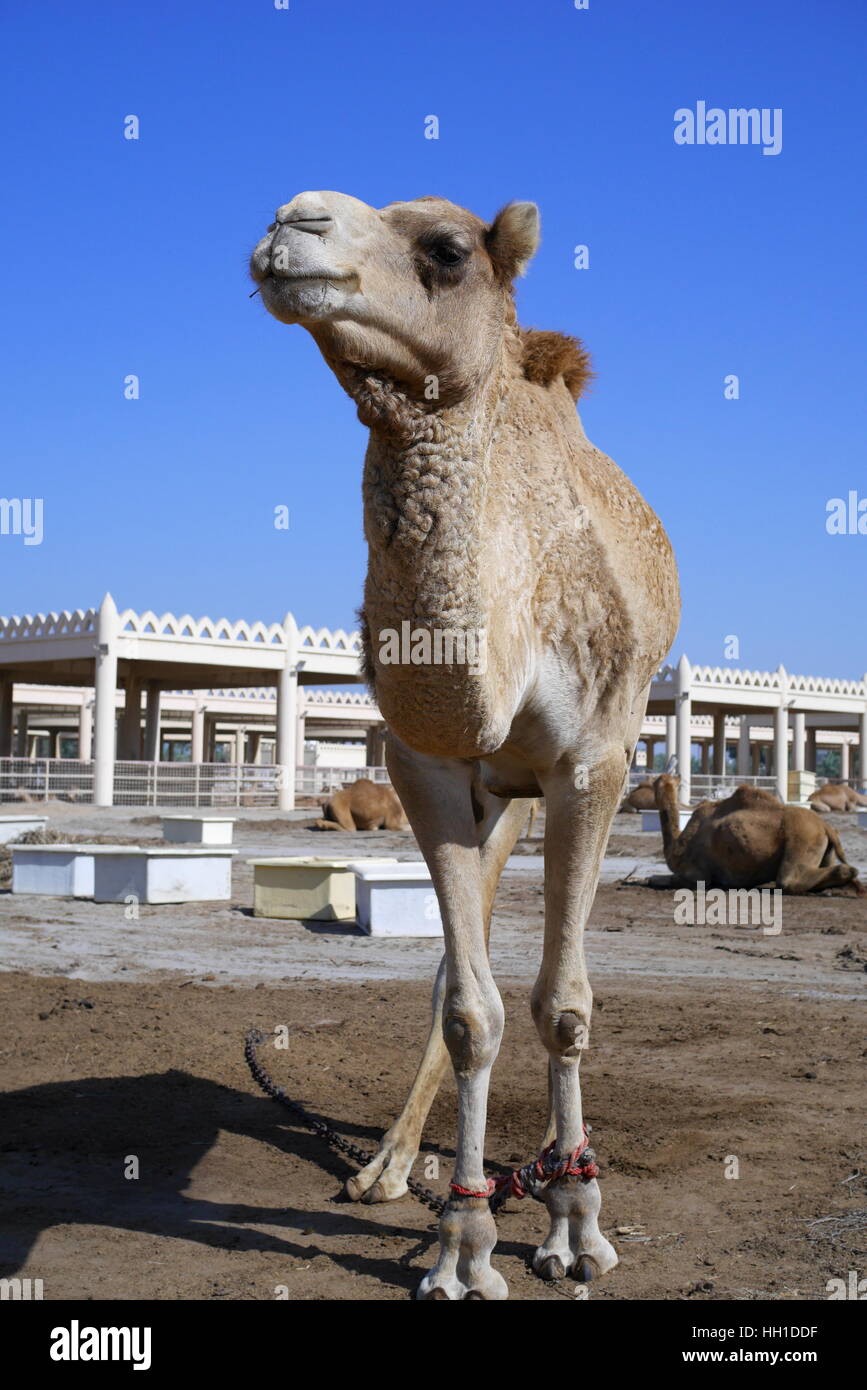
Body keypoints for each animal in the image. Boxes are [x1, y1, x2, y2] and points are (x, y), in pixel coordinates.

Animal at [251, 190, 680, 1298]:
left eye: (446, 250)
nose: (291, 221)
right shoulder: (428, 761)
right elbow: (470, 1009)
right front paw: (461, 1241)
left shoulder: (592, 762)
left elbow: (564, 1005)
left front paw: (576, 1226)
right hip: (497, 791)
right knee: (457, 973)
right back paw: (392, 1167)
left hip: (548, 781)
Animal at [650, 773, 861, 894]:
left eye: (653, 785)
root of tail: (825, 827)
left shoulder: (696, 874)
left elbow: (656, 878)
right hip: (824, 848)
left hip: (803, 838)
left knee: (788, 880)